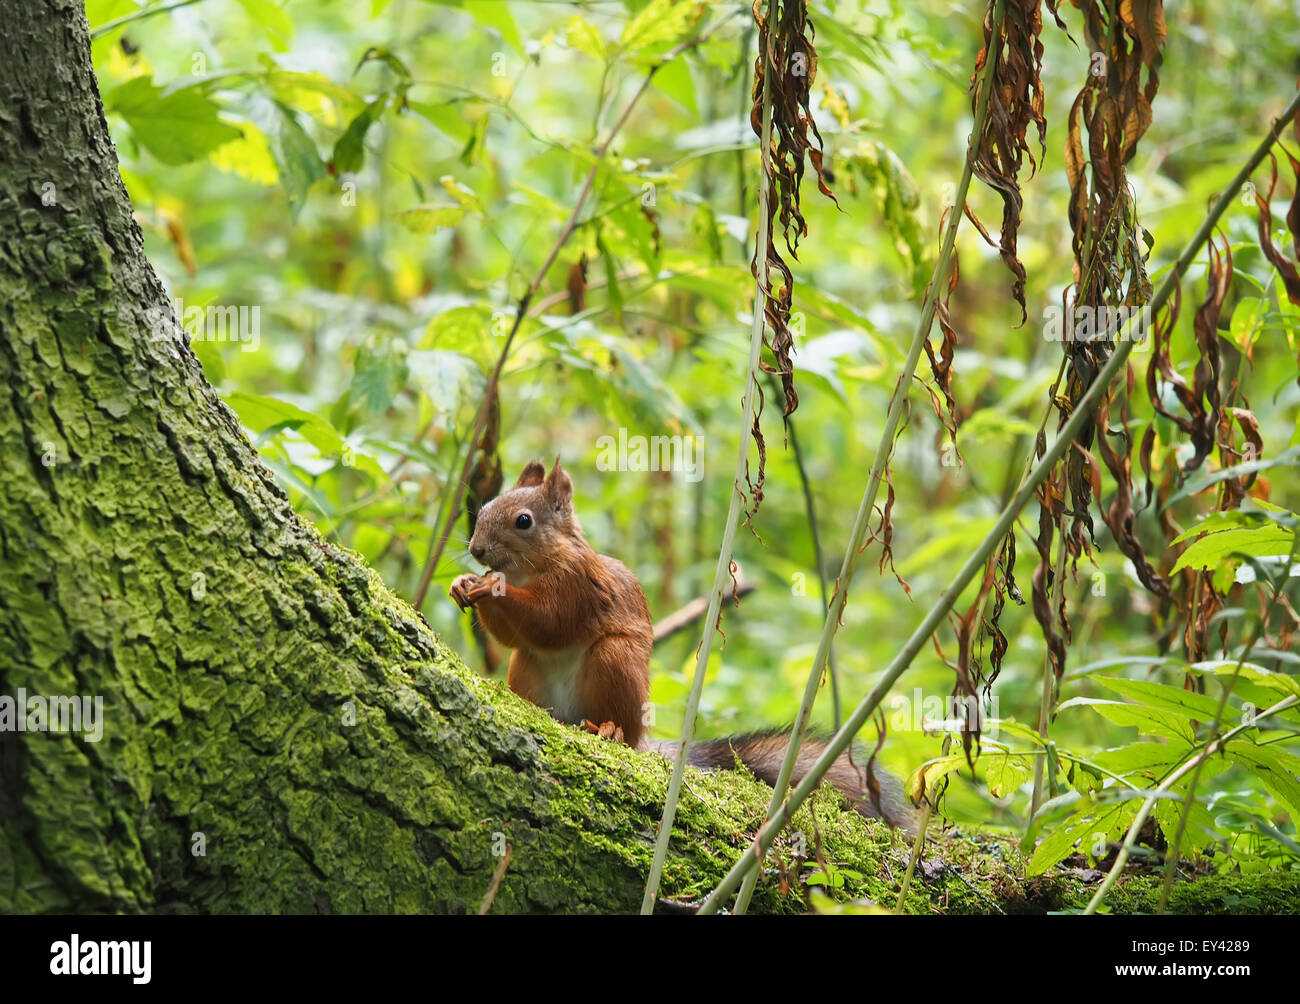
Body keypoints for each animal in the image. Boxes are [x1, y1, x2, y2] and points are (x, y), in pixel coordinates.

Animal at [450, 459, 915, 831]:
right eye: (485, 509)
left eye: (523, 521)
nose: (477, 550)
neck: (531, 567)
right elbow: (514, 636)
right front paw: (463, 583)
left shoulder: (577, 585)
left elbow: (550, 621)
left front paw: (493, 587)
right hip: (525, 667)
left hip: (615, 661)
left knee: (621, 726)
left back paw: (610, 729)